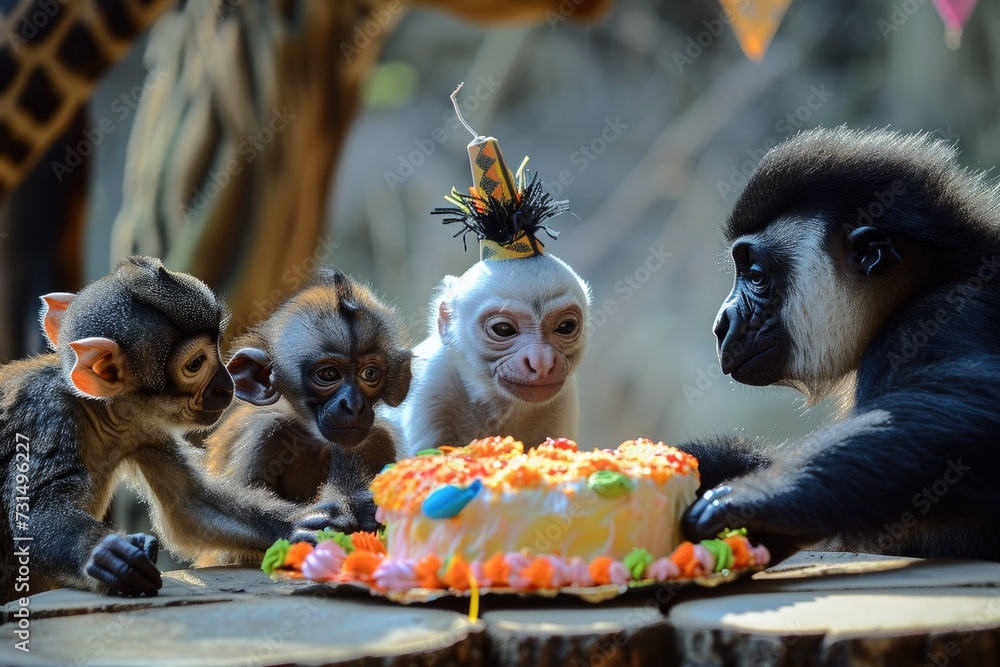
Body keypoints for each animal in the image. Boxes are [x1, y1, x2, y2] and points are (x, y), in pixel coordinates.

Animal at [0, 256, 340, 601]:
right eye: (196, 364)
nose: (226, 385)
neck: (98, 411)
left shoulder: (146, 428)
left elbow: (190, 506)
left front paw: (299, 531)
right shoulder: (48, 417)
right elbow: (35, 512)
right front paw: (106, 554)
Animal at [203, 268, 412, 537]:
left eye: (370, 374)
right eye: (329, 374)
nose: (353, 405)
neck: (316, 440)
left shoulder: (380, 439)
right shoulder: (263, 436)